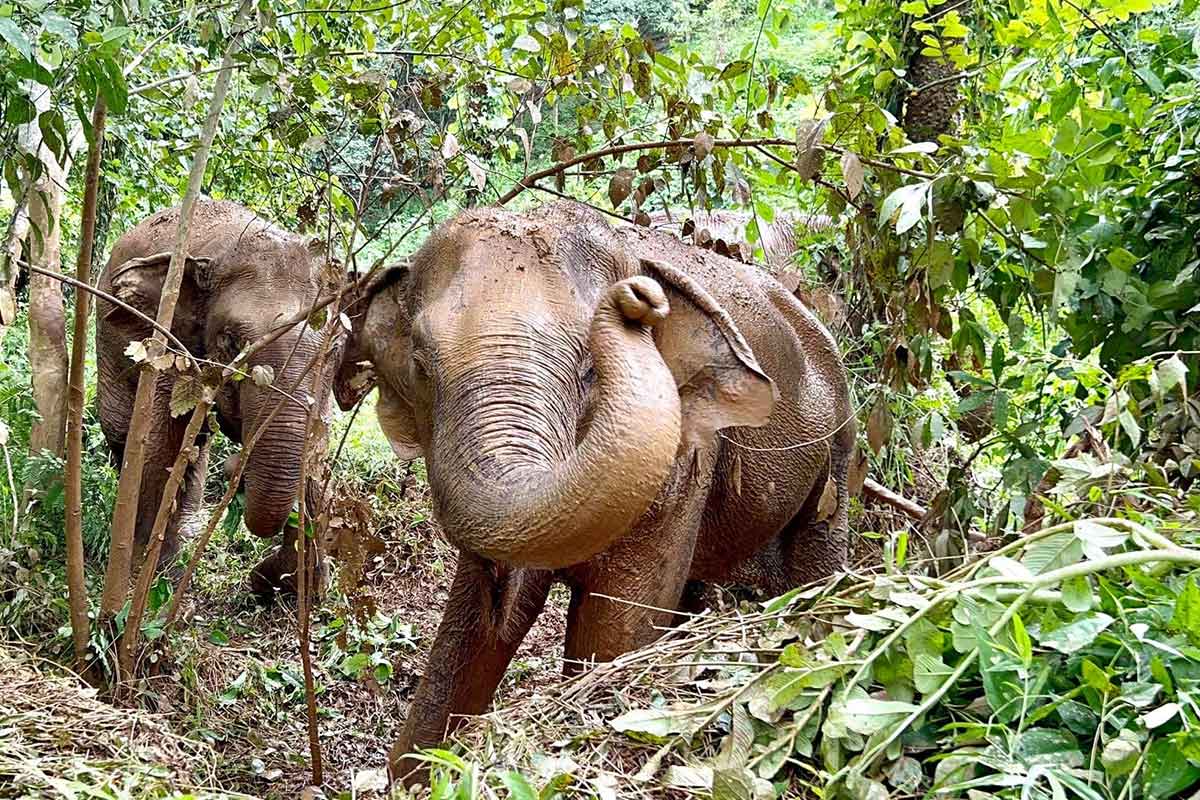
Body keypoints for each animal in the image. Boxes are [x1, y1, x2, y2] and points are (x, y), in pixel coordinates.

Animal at [96, 198, 346, 594]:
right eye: (230, 341)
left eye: (334, 348)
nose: (236, 469)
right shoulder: (171, 343)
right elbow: (161, 440)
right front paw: (147, 577)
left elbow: (315, 452)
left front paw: (289, 586)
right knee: (121, 427)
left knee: (197, 444)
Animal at [336, 201, 853, 783]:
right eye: (421, 367)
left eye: (588, 370)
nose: (638, 298)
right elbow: (475, 632)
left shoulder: (682, 462)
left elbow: (614, 633)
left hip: (839, 443)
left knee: (817, 548)